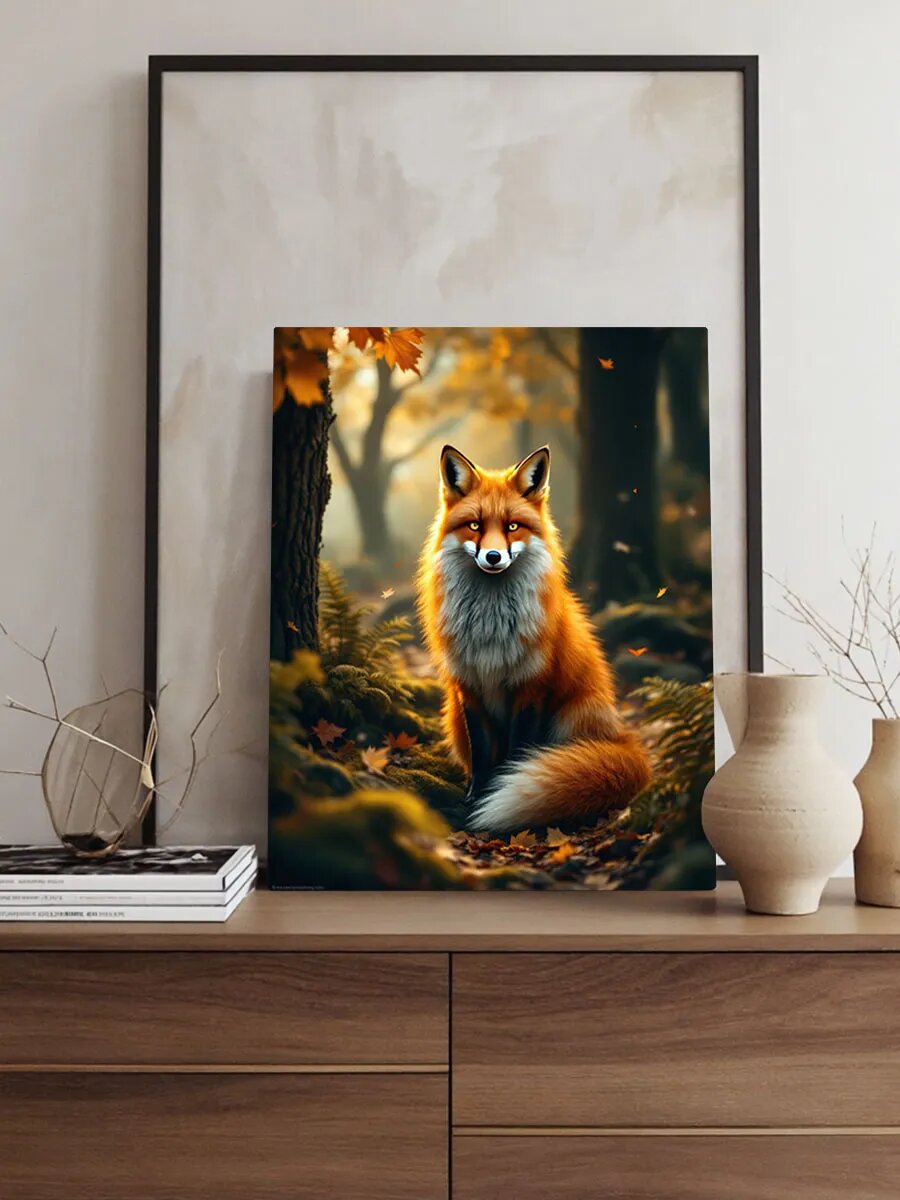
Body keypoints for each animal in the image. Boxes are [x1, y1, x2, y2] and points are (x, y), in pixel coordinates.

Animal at [416, 443, 652, 833]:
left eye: (513, 526)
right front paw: (476, 797)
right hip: (452, 717)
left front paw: (498, 793)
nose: (493, 556)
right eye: (475, 525)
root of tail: (622, 736)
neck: (491, 628)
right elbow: (482, 757)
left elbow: (518, 752)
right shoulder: (470, 688)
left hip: (570, 717)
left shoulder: (531, 686)